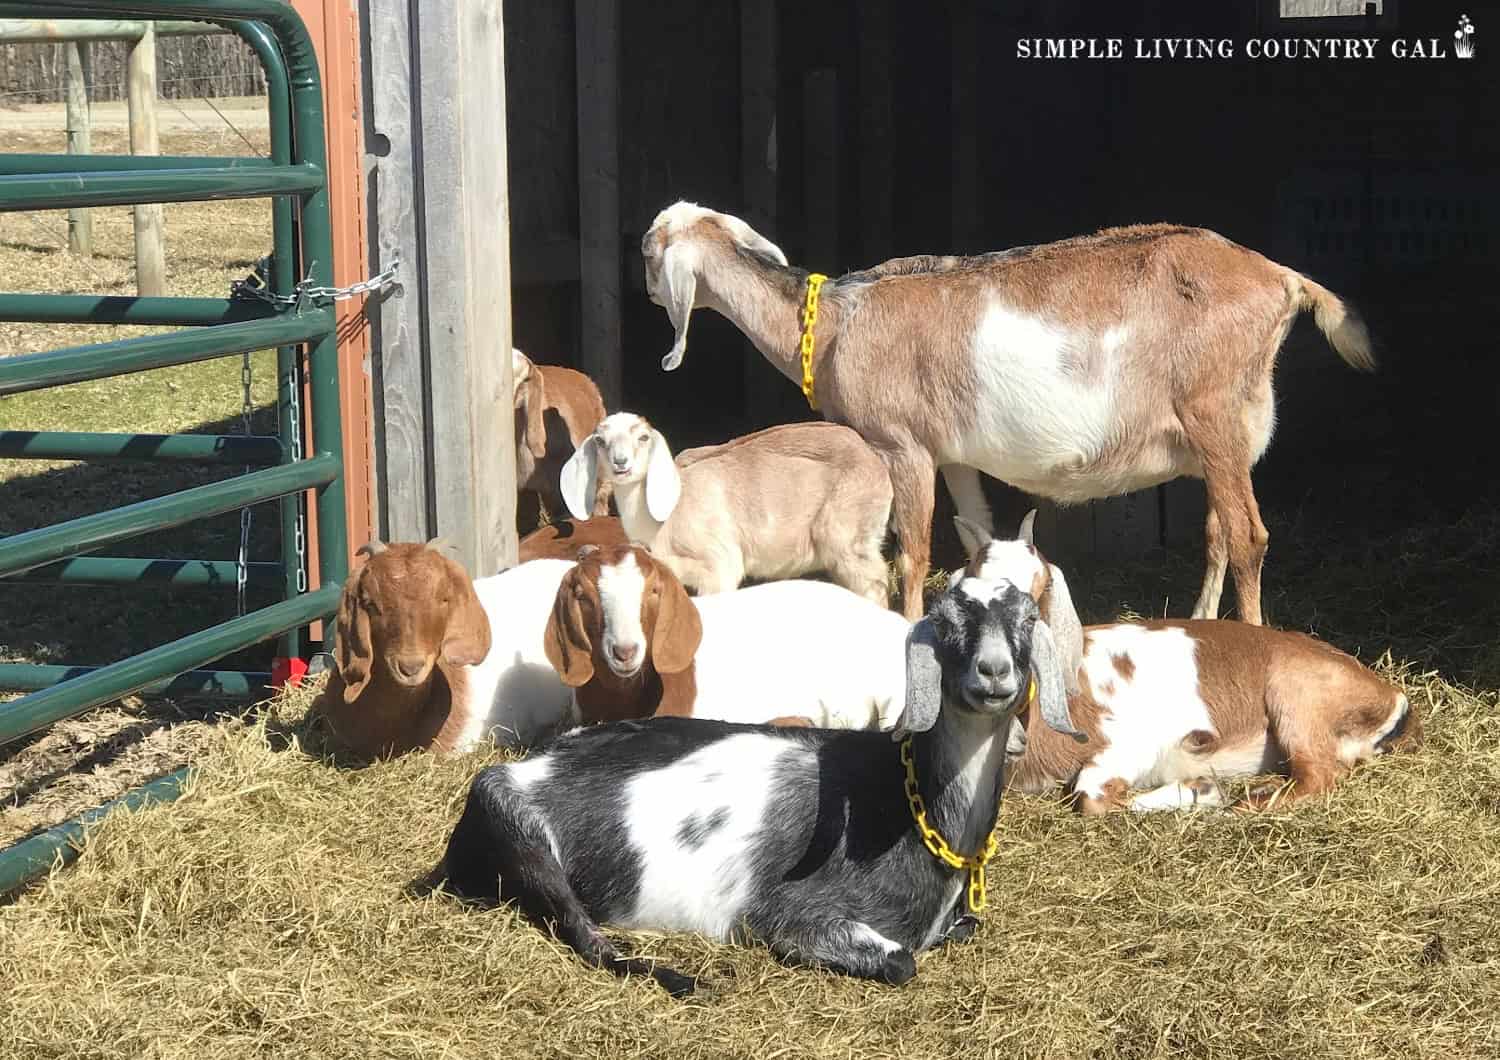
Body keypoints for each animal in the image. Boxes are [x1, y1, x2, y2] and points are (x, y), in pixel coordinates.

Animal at [434, 574, 1084, 996]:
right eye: (947, 624)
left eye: (1027, 619)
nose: (994, 673)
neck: (905, 799)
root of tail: (528, 765)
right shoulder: (783, 913)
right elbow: (901, 963)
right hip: (516, 827)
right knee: (585, 935)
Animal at [560, 412, 893, 607]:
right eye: (600, 440)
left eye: (642, 437)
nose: (621, 463)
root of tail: (871, 457)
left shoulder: (720, 563)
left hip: (847, 534)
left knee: (875, 584)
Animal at [641, 201, 1375, 624]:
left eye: (649, 251)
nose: (647, 290)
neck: (833, 324)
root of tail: (1283, 279)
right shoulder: (951, 453)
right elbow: (974, 534)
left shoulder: (901, 445)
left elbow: (912, 551)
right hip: (1220, 433)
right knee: (1221, 531)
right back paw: (1200, 622)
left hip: (1214, 411)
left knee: (1249, 536)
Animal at [959, 514, 1421, 813]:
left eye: (1041, 587)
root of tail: (1390, 695)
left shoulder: (1131, 744)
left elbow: (1090, 797)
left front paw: (1201, 792)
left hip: (1295, 697)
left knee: (1319, 775)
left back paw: (1248, 803)